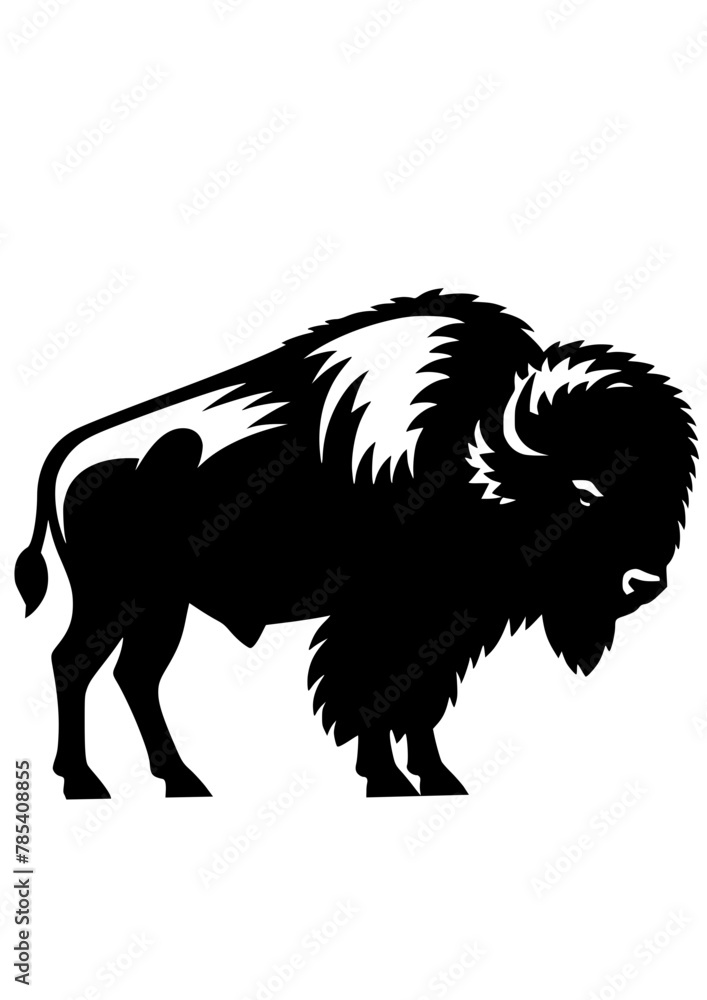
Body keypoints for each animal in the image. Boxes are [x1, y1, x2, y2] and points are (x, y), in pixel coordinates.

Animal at [15, 289, 696, 798]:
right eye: (584, 490)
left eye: (660, 492)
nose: (645, 582)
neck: (471, 457)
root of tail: (74, 451)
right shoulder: (385, 614)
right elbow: (370, 689)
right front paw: (389, 780)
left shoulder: (450, 620)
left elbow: (421, 697)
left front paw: (436, 777)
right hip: (118, 600)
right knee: (73, 663)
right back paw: (84, 782)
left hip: (163, 609)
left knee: (134, 676)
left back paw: (181, 780)